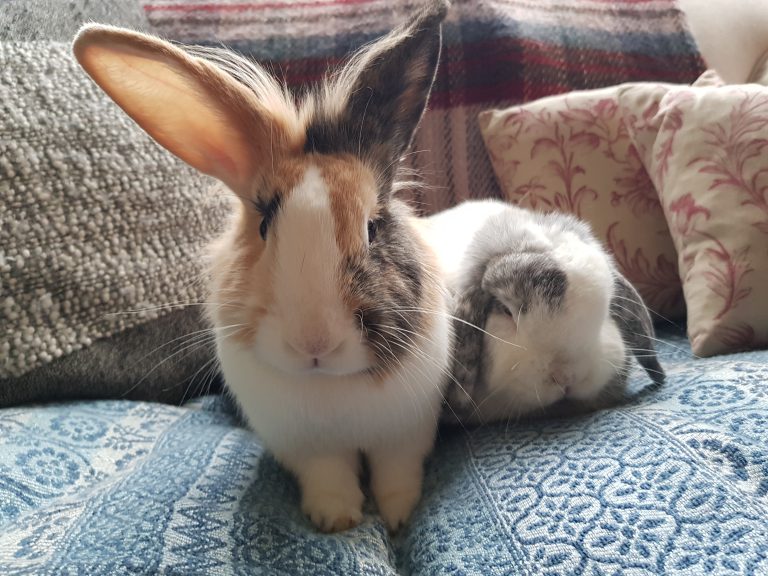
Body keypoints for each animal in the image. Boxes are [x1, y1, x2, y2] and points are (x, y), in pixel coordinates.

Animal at [73, 0, 452, 532]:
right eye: (264, 224)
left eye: (374, 228)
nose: (314, 344)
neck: (328, 385)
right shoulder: (308, 448)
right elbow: (329, 476)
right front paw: (335, 520)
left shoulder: (405, 434)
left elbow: (396, 474)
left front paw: (399, 518)